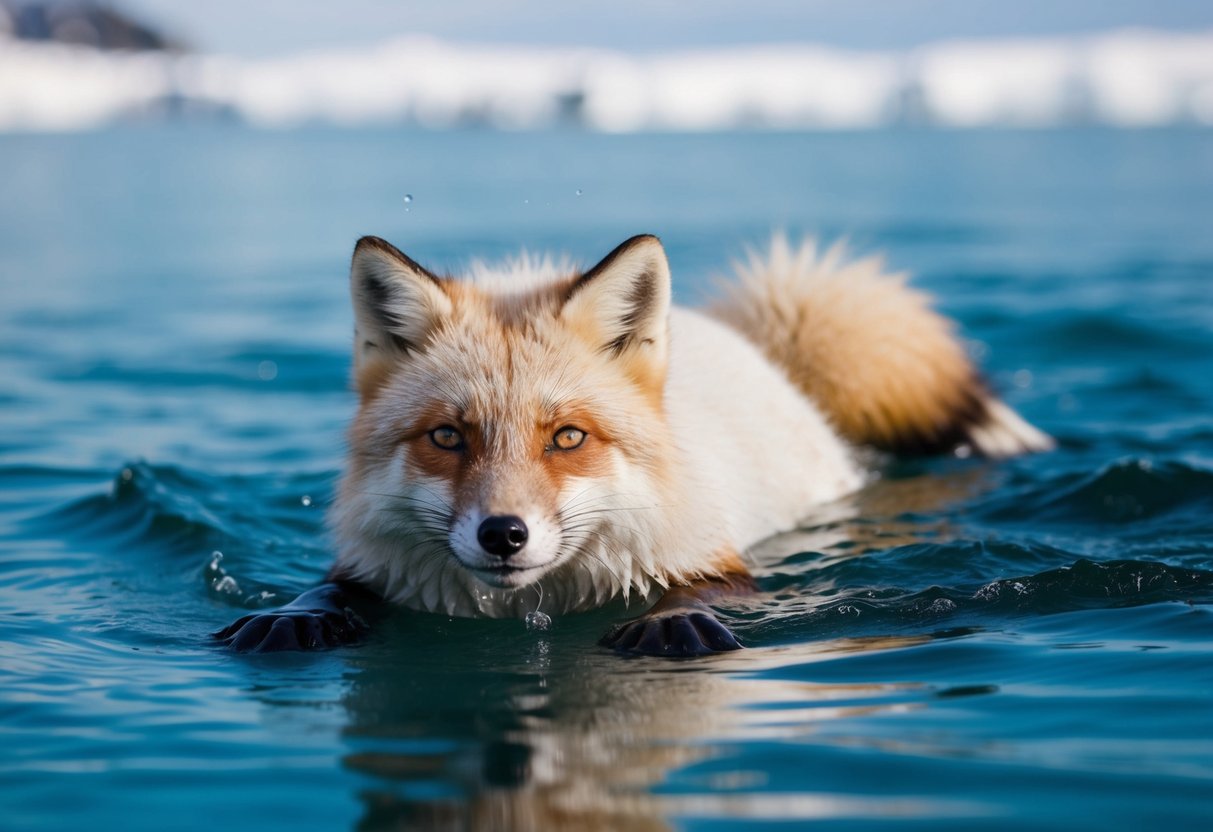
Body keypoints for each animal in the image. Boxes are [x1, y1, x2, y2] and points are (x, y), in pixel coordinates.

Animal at [214, 233, 1052, 656]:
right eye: (447, 436)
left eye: (567, 437)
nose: (503, 535)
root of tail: (754, 344)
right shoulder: (376, 561)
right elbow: (331, 586)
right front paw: (293, 615)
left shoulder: (716, 552)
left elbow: (704, 587)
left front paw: (668, 622)